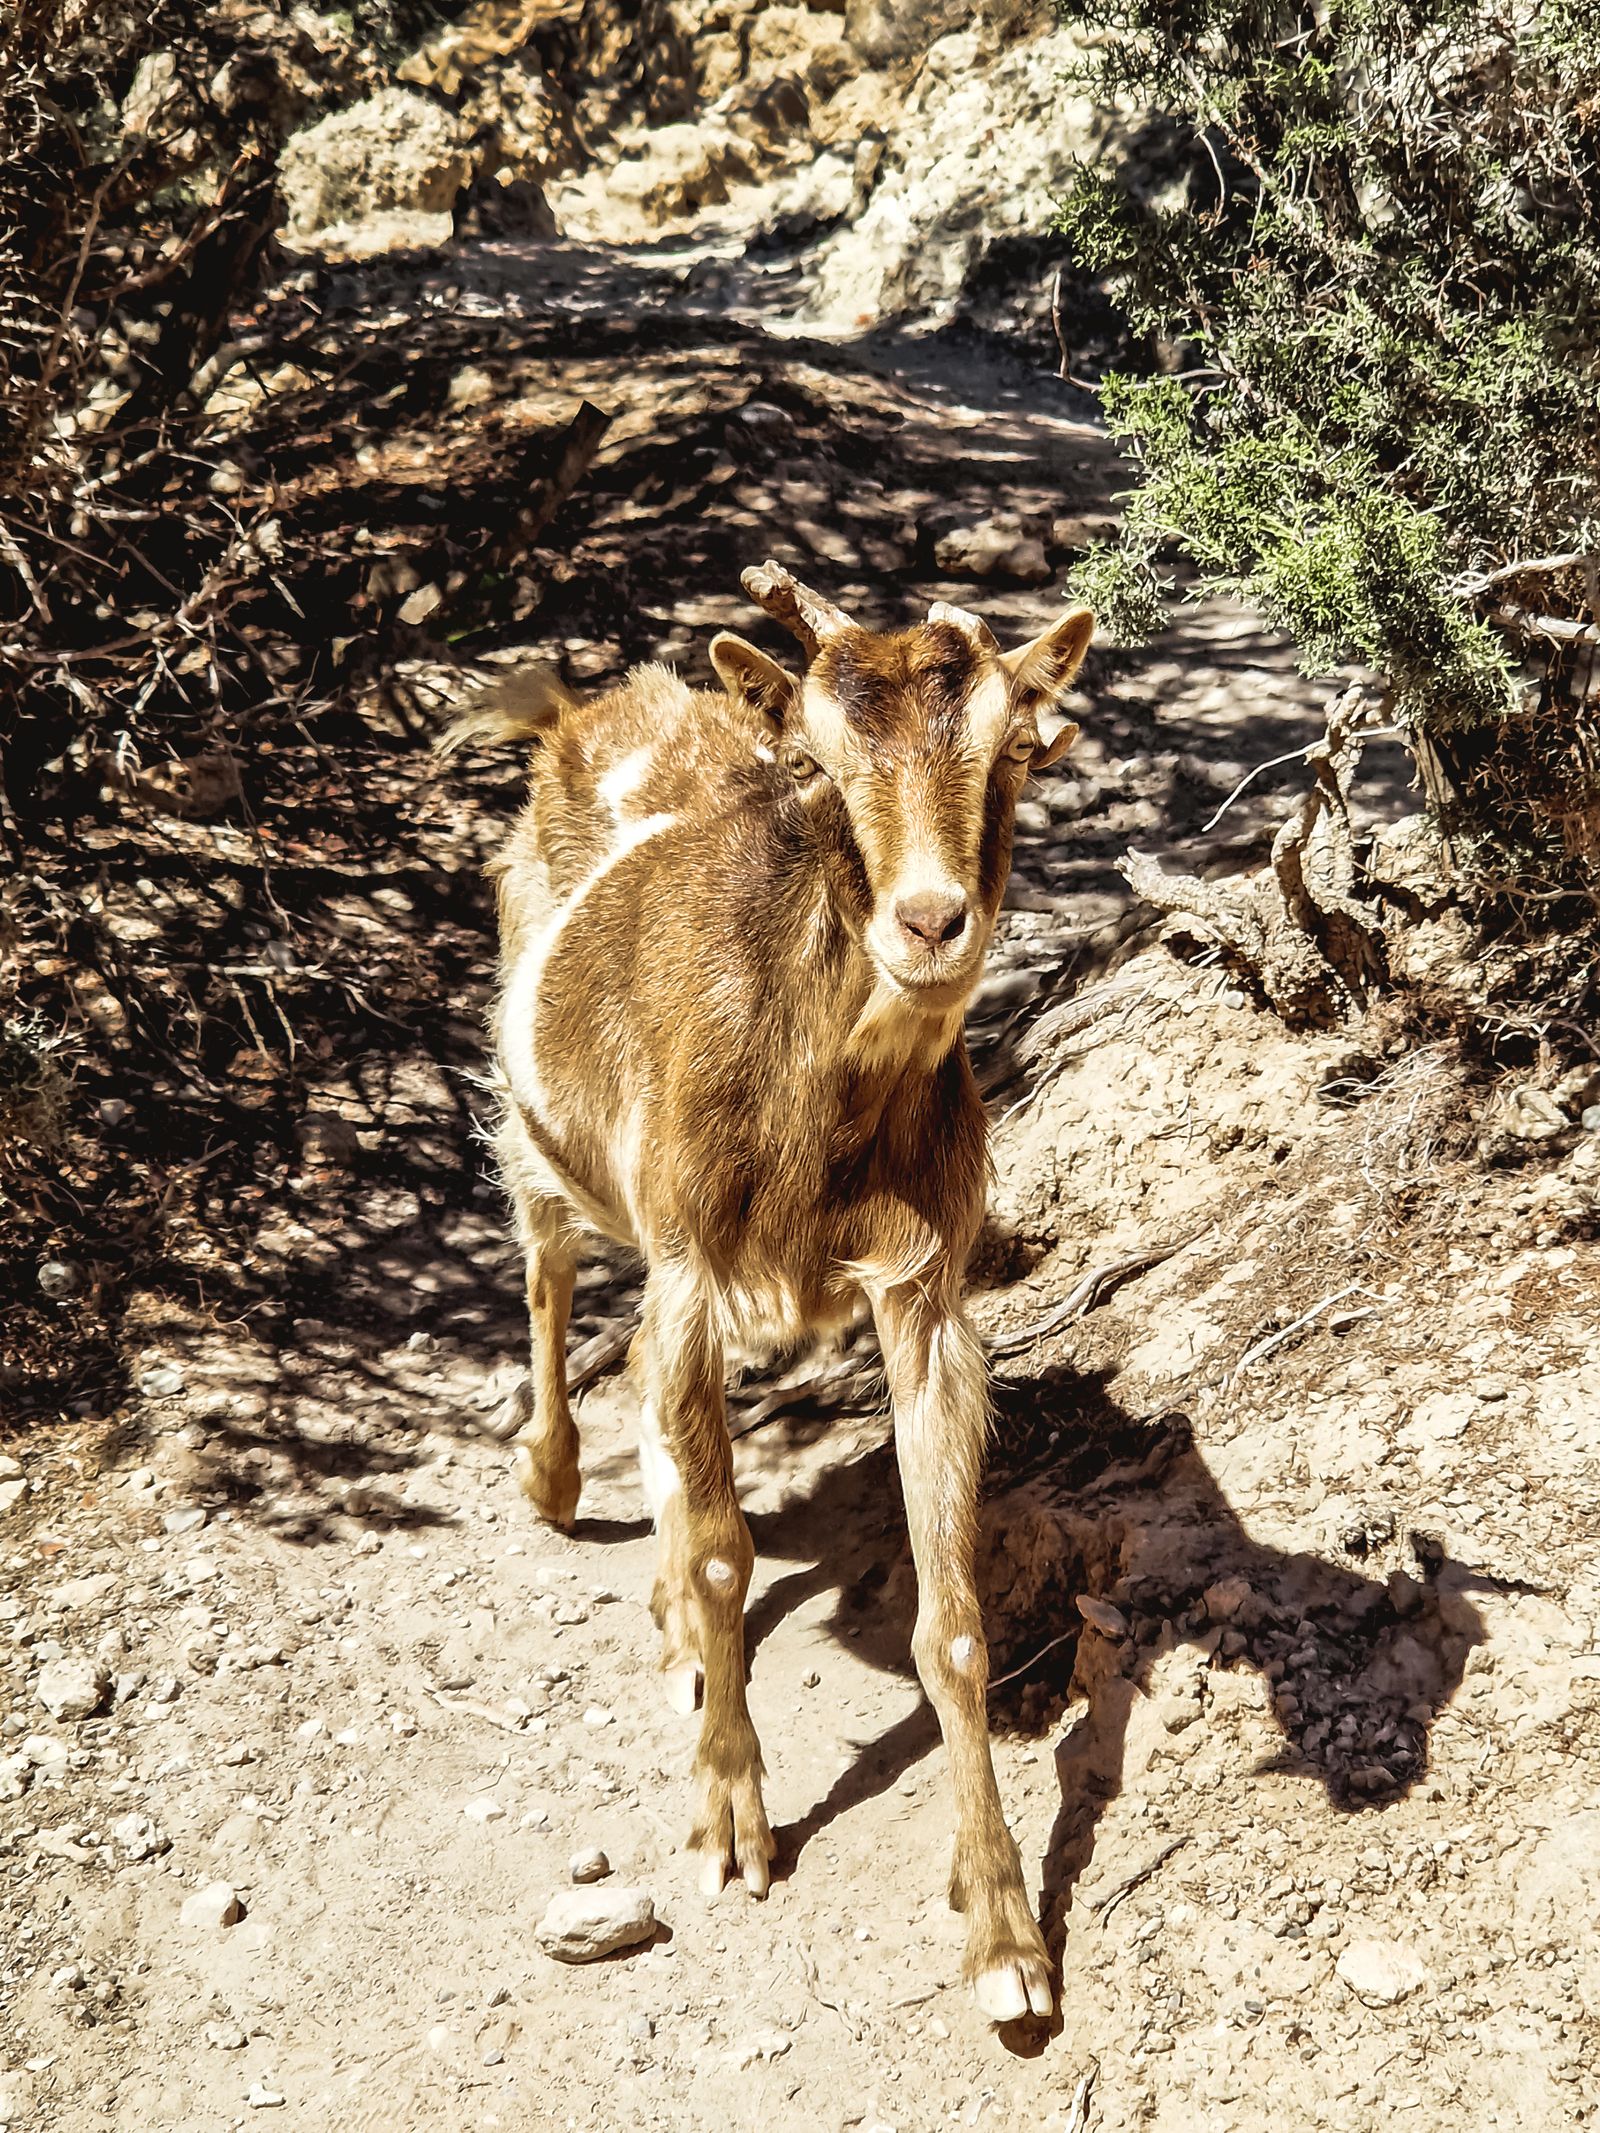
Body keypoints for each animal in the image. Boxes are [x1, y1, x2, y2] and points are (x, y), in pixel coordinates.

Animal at [451, 563, 1094, 2021]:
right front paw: (730, 1823)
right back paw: (555, 1479)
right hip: (540, 1122)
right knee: (551, 1269)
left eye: (1015, 749)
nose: (930, 922)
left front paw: (1005, 1938)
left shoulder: (924, 1291)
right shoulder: (693, 1267)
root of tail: (587, 709)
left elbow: (952, 1621)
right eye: (821, 761)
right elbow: (726, 1546)